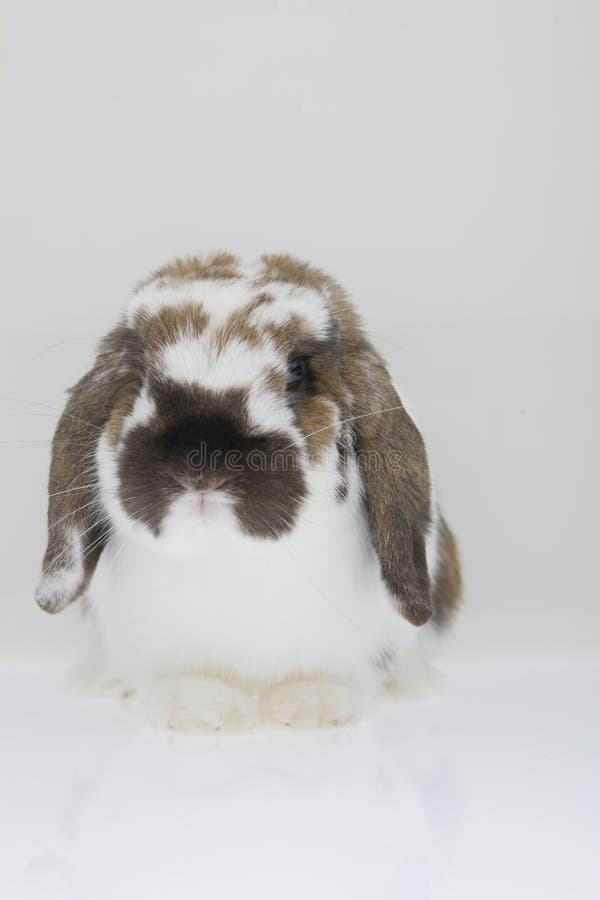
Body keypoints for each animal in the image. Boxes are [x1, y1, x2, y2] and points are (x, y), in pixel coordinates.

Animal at [35, 252, 461, 731]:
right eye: (140, 370)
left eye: (297, 371)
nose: (200, 461)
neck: (230, 554)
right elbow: (190, 678)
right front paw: (200, 712)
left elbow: (324, 676)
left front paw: (309, 710)